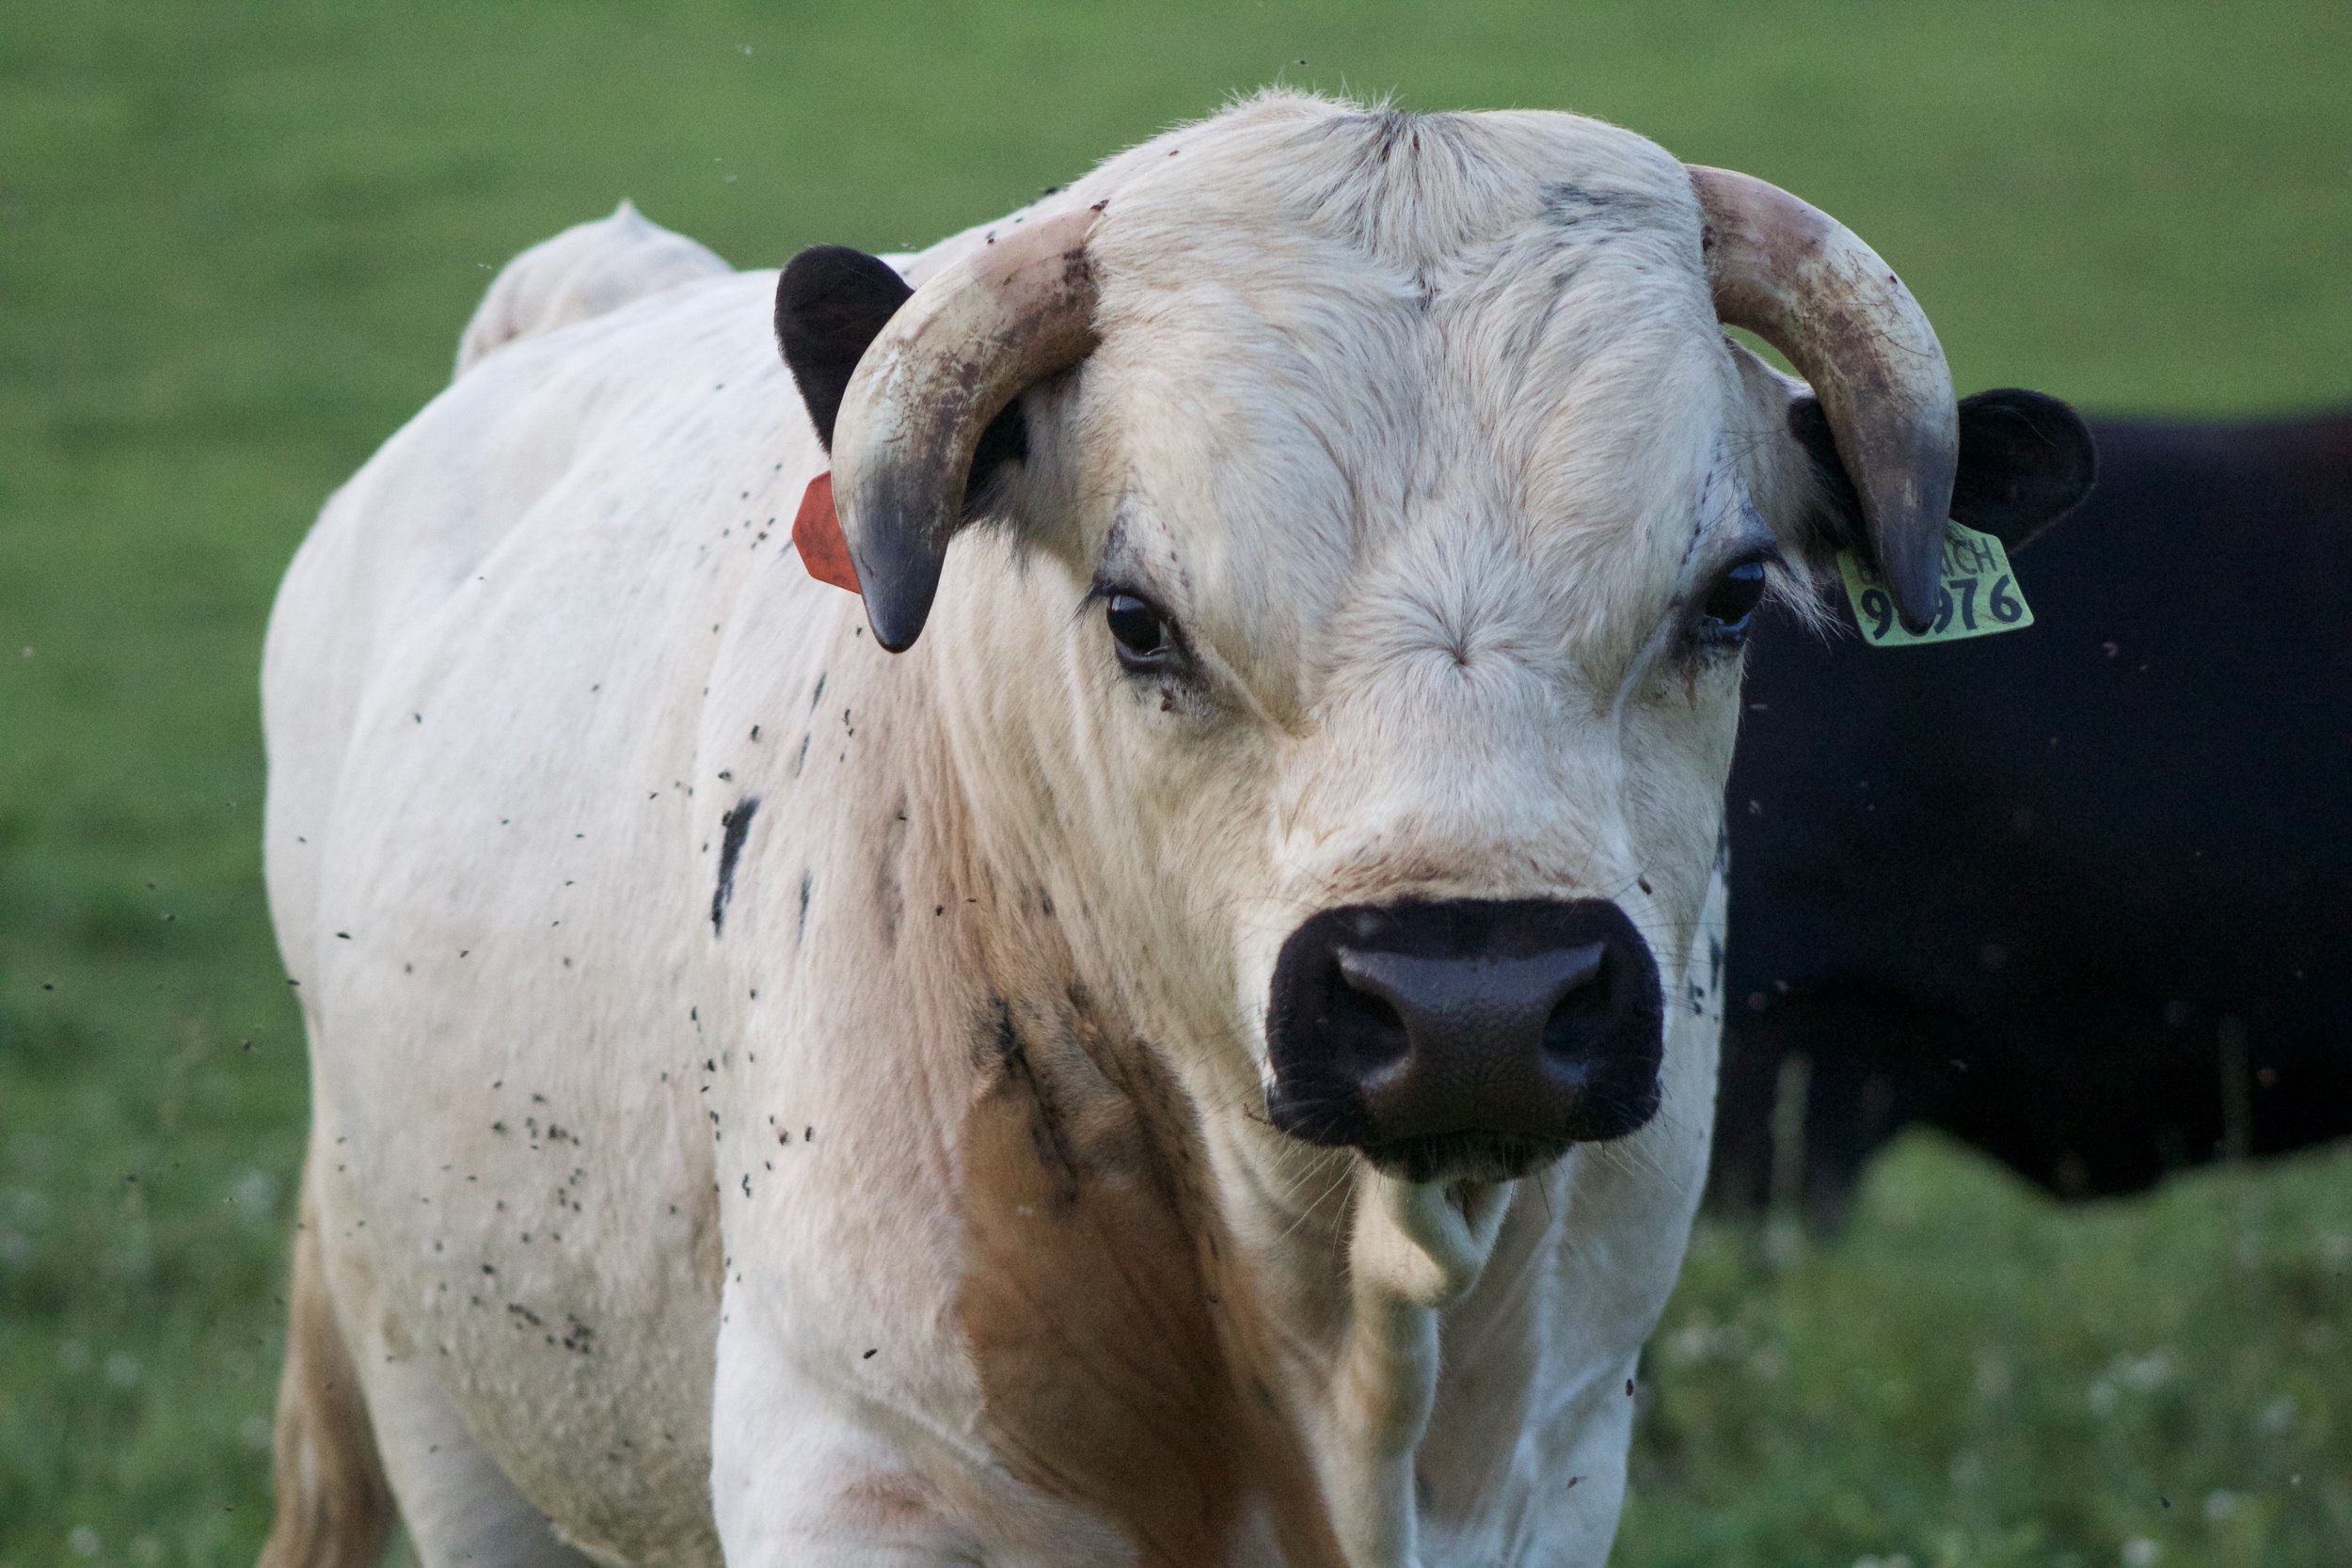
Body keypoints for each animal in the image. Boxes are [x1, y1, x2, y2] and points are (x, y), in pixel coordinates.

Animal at [256, 92, 2091, 1568]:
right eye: (1139, 619)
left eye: (1729, 595)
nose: (1475, 1006)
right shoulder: (859, 1469)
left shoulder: (1556, 1474)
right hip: (435, 1375)